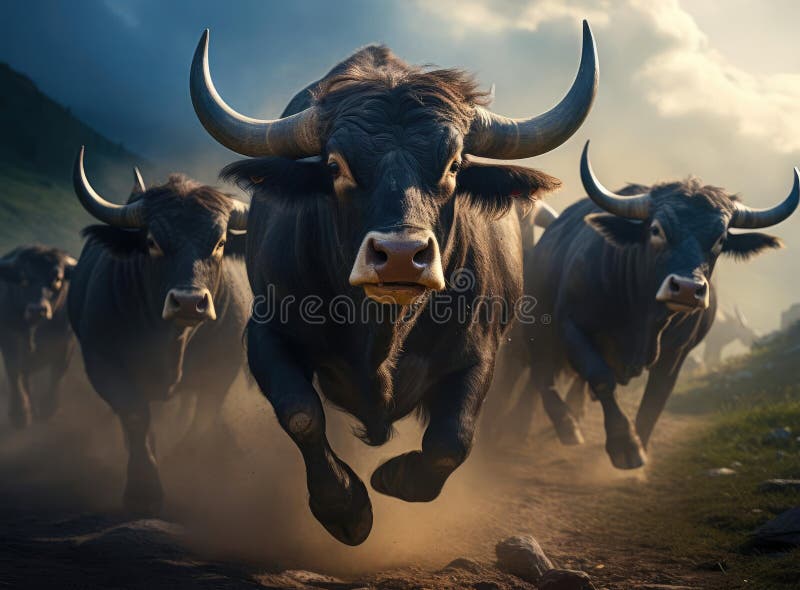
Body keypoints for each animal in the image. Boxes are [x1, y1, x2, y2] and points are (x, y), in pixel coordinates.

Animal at [0, 245, 76, 428]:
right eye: (22, 278)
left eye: (57, 279)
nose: (37, 309)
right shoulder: (9, 339)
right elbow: (14, 373)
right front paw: (20, 414)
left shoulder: (66, 342)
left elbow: (58, 373)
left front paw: (49, 407)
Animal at [67, 148, 251, 513]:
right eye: (152, 241)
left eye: (220, 242)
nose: (189, 302)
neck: (172, 341)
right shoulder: (101, 361)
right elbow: (136, 417)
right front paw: (144, 490)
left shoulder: (224, 368)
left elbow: (202, 420)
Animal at [189, 22, 598, 544]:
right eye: (336, 166)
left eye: (454, 164)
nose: (402, 256)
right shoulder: (266, 333)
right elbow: (302, 414)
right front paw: (345, 509)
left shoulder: (481, 350)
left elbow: (450, 440)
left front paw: (394, 477)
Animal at [520, 141, 798, 469]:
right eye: (656, 230)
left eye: (720, 239)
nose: (687, 289)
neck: (645, 318)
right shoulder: (571, 326)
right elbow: (600, 377)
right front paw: (624, 446)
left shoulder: (678, 351)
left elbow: (656, 397)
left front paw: (639, 445)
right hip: (538, 328)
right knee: (542, 375)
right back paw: (564, 426)